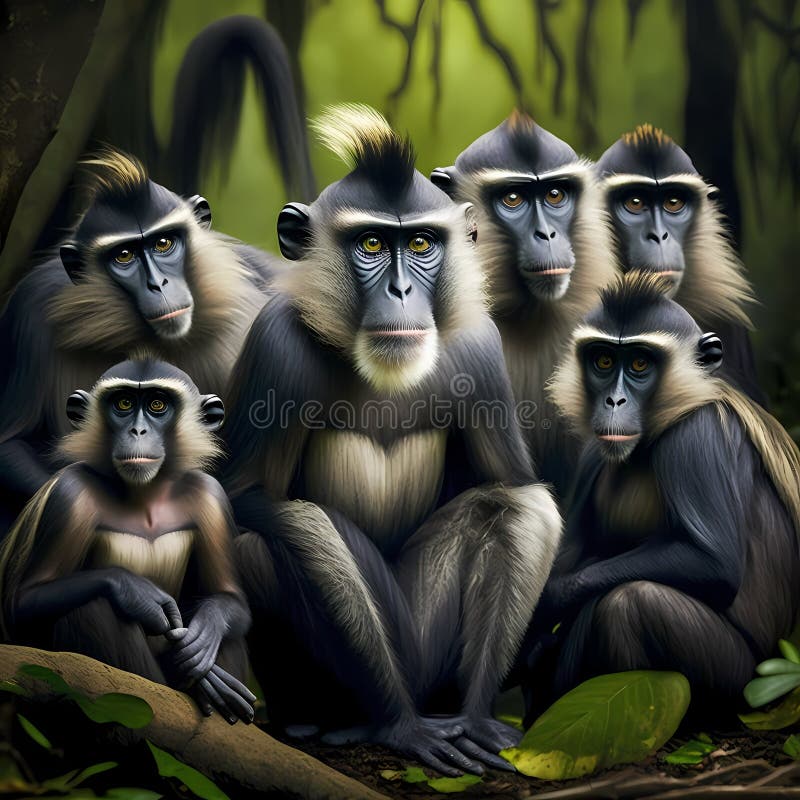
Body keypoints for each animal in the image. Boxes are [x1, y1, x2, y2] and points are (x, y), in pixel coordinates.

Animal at [0, 359, 256, 723]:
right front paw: (138, 594)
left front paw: (204, 637)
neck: (144, 493)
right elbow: (24, 601)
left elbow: (229, 597)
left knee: (231, 634)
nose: (138, 431)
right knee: (92, 607)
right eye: (122, 404)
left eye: (158, 405)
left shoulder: (210, 494)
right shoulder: (71, 493)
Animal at [222, 105, 562, 775]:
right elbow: (258, 503)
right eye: (373, 244)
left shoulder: (479, 346)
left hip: (427, 652)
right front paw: (402, 726)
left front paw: (478, 719)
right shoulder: (276, 344)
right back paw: (333, 721)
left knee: (500, 508)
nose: (401, 292)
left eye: (423, 243)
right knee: (256, 543)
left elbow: (518, 492)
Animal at [520, 270, 800, 723]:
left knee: (632, 603)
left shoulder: (696, 434)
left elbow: (712, 562)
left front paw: (546, 603)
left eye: (639, 364)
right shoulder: (595, 450)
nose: (614, 401)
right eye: (603, 361)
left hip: (741, 679)